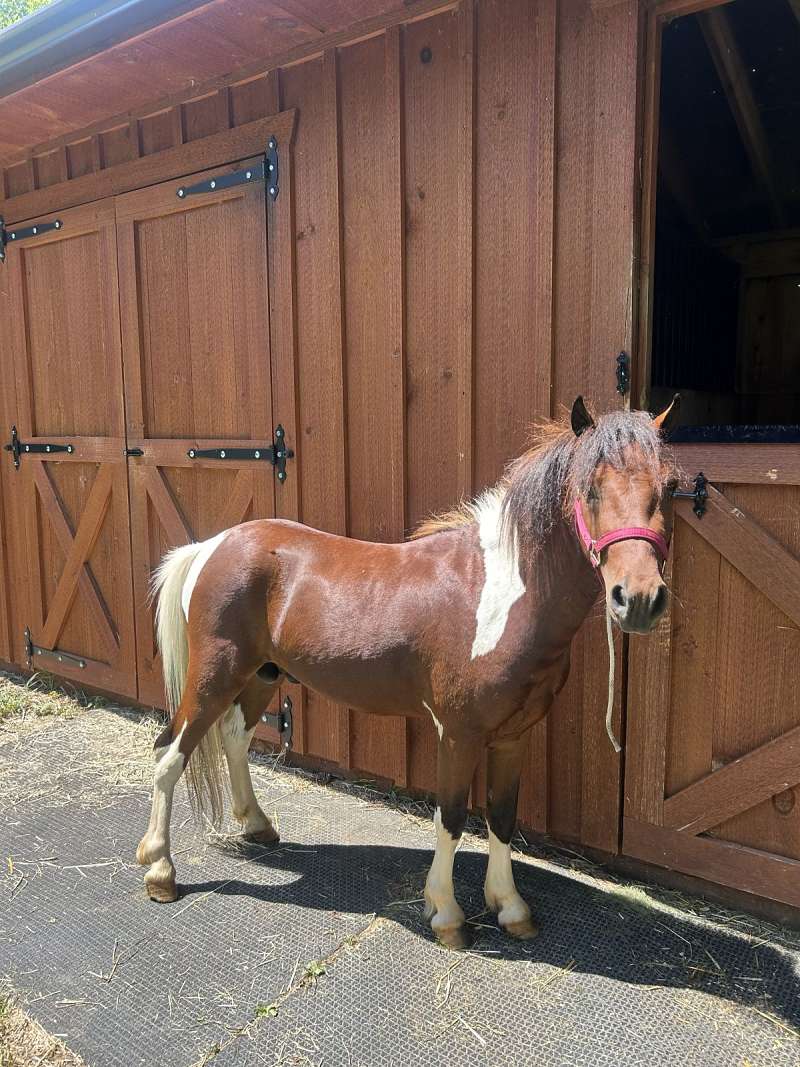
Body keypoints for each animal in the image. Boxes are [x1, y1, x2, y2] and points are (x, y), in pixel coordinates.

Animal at [136, 396, 680, 949]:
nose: (638, 599)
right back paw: (160, 871)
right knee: (170, 753)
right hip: (215, 676)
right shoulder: (458, 734)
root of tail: (210, 546)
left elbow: (502, 817)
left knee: (233, 739)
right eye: (589, 488)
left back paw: (258, 827)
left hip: (261, 677)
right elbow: (452, 817)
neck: (503, 594)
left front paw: (509, 908)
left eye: (670, 487)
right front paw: (446, 915)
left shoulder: (513, 735)